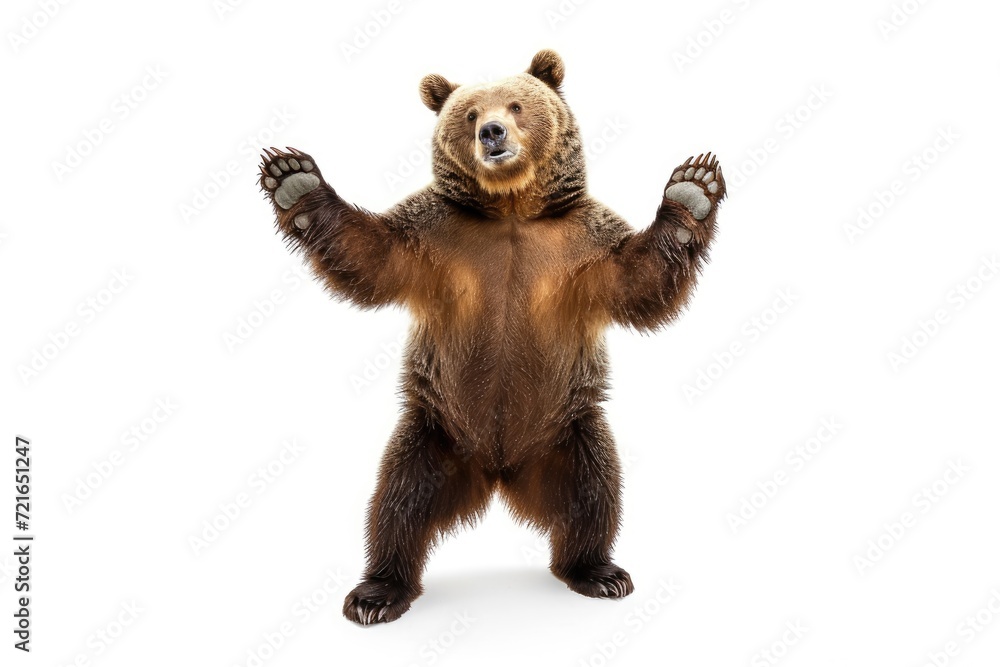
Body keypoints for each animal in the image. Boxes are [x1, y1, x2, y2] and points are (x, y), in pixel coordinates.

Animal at [258, 49, 725, 625]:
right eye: (469, 113)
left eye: (517, 104)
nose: (492, 132)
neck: (510, 211)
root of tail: (499, 472)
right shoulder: (435, 236)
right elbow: (371, 256)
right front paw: (294, 179)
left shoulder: (582, 245)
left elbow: (638, 281)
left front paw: (691, 191)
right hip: (432, 431)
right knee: (396, 503)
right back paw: (377, 592)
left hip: (571, 428)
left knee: (594, 492)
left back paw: (598, 571)